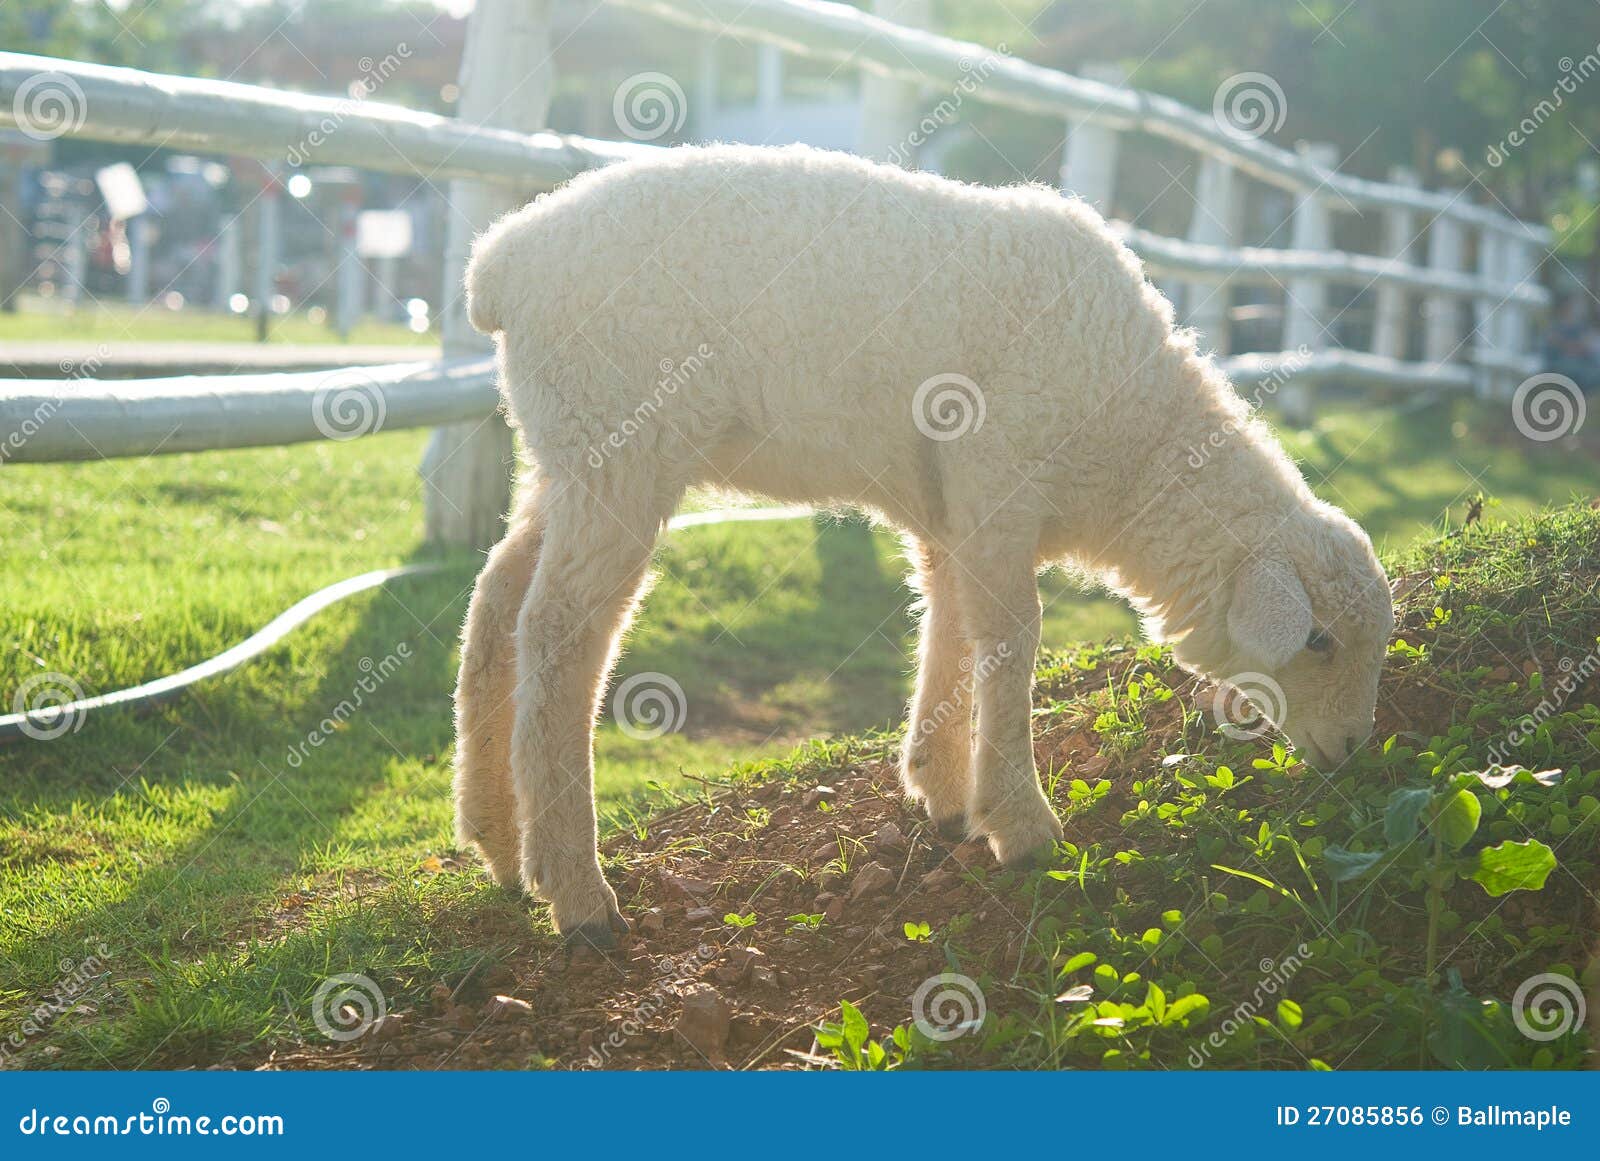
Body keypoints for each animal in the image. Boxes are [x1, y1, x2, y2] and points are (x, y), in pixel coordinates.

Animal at [454, 143, 1395, 947]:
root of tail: (500, 262)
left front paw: (942, 791)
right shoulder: (998, 474)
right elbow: (1013, 637)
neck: (1135, 448)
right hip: (619, 441)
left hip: (565, 454)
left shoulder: (954, 508)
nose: (1353, 752)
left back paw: (499, 843)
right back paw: (577, 891)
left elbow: (951, 623)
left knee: (497, 598)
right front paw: (1023, 825)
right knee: (561, 630)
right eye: (1319, 639)